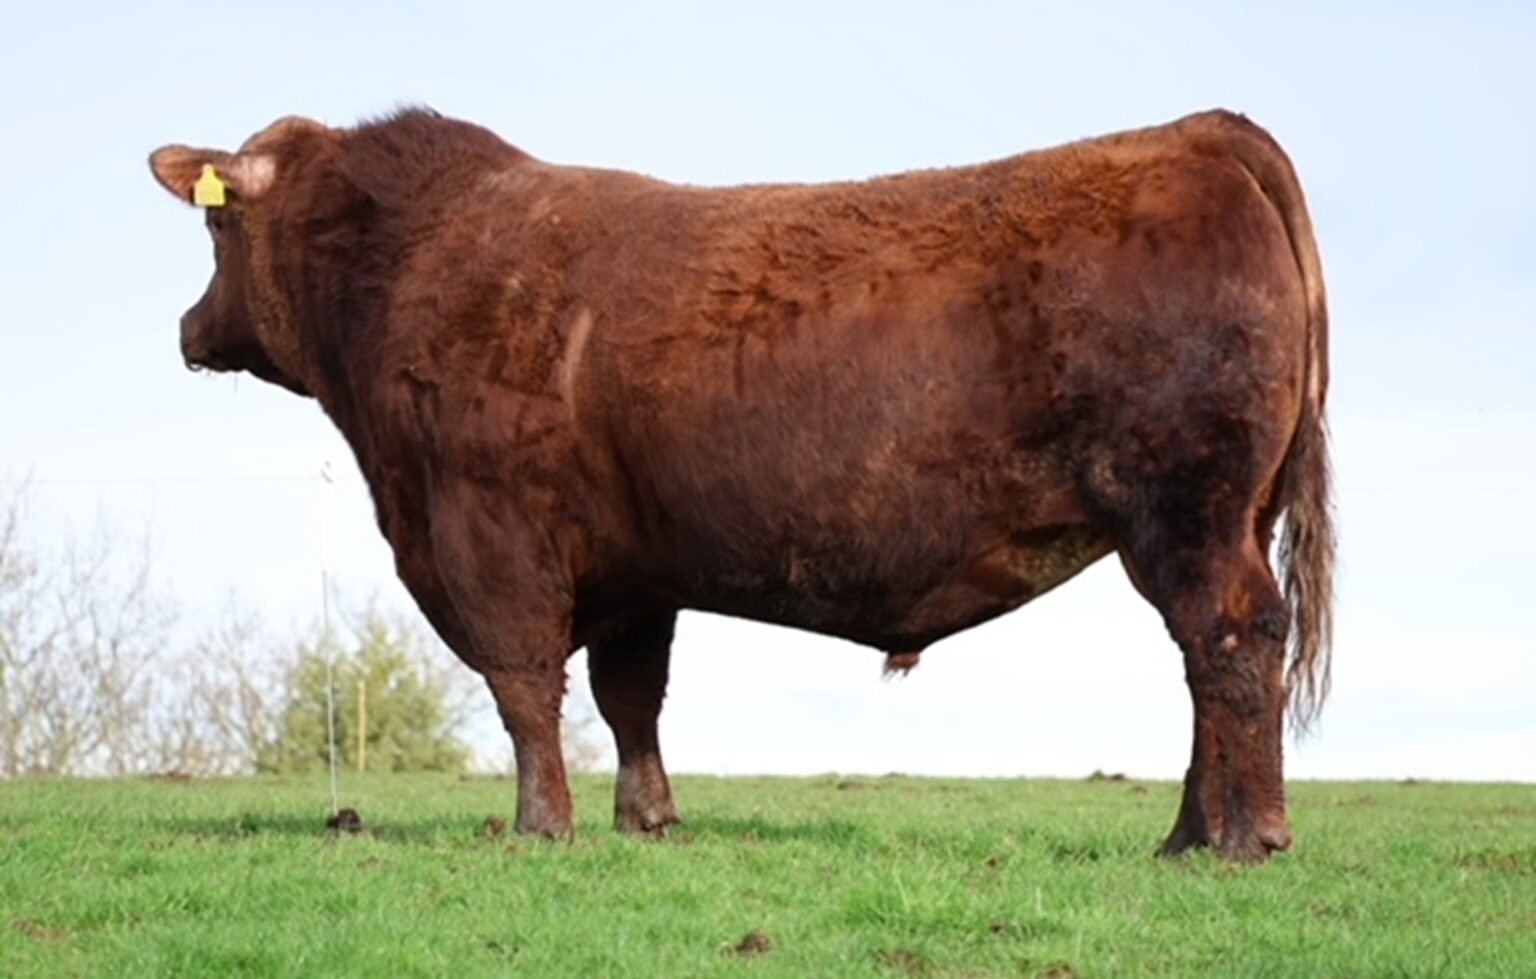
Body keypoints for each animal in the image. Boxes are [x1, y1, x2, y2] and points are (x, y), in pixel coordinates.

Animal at [150, 107, 1332, 862]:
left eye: (214, 223)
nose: (188, 329)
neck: (408, 261)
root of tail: (1194, 132)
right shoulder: (632, 568)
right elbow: (630, 696)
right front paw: (648, 820)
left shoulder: (484, 526)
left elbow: (523, 682)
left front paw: (541, 828)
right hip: (1229, 512)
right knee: (1208, 661)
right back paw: (1184, 835)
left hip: (1188, 510)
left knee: (1232, 643)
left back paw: (1239, 837)